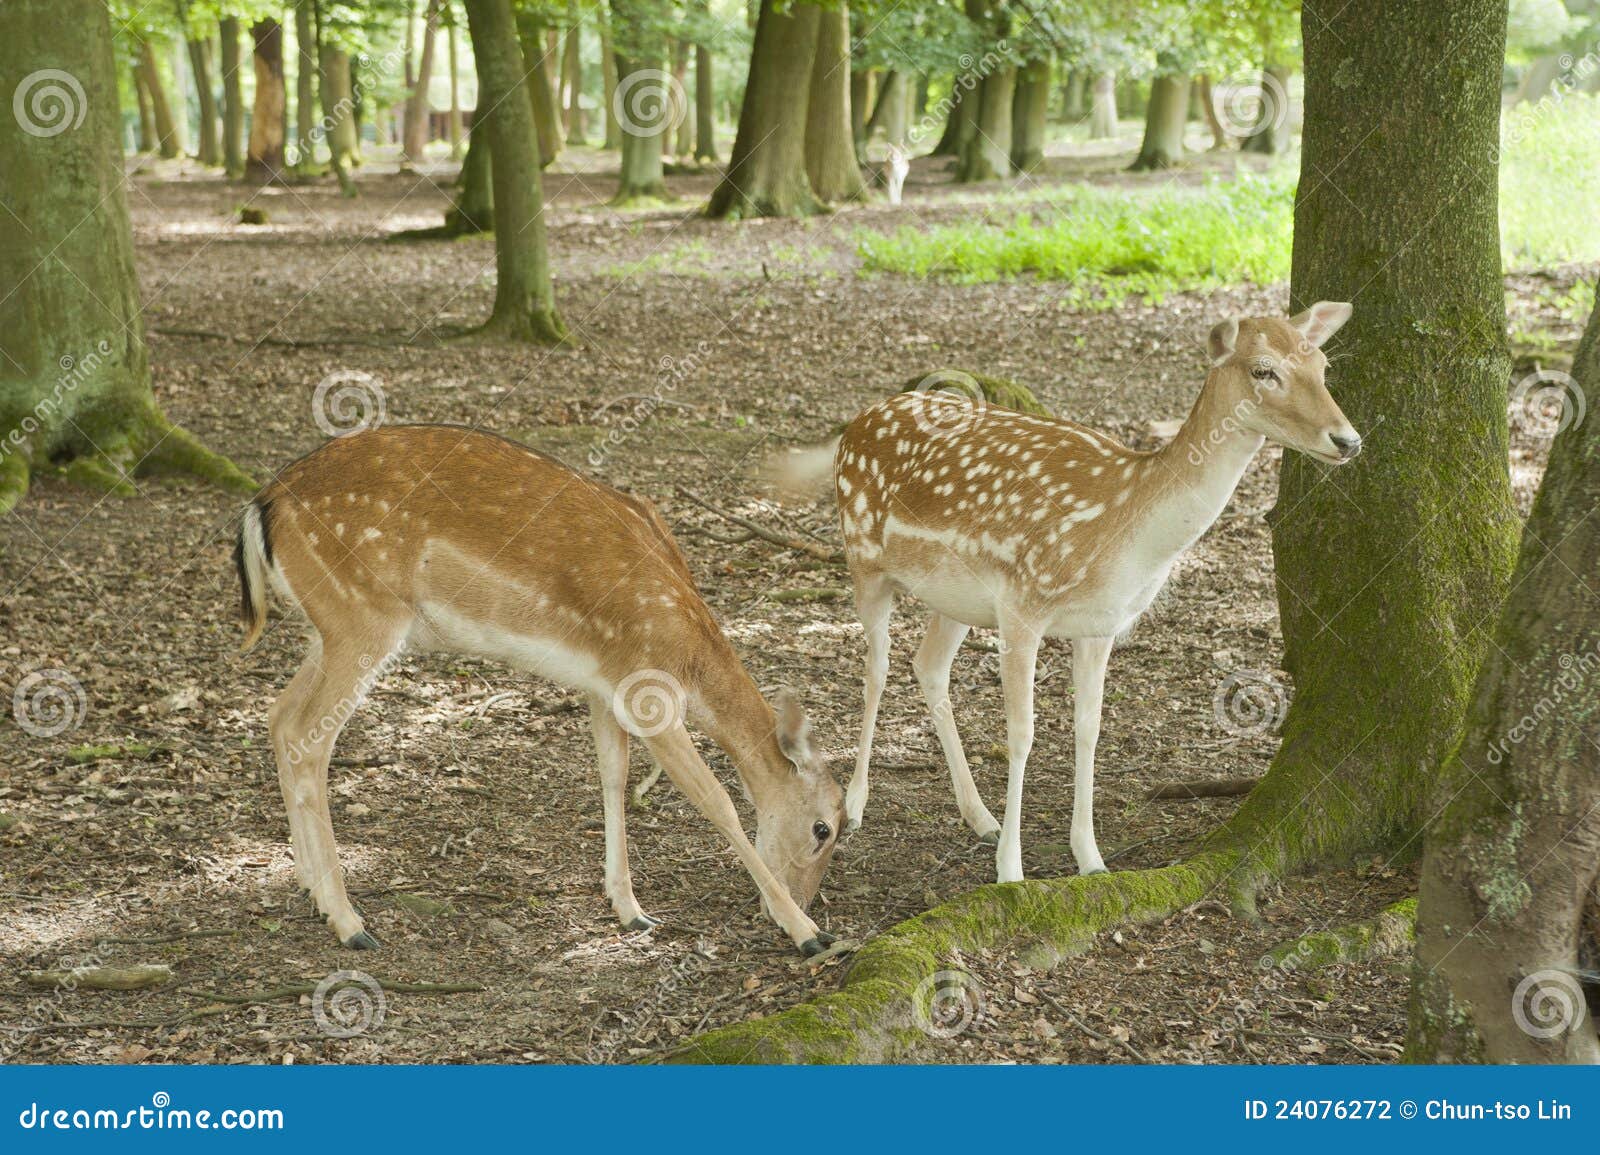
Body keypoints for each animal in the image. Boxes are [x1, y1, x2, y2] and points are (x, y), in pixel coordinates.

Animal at [234, 425, 844, 955]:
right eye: (824, 829)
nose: (804, 899)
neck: (686, 654)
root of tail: (261, 504)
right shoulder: (648, 690)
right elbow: (717, 801)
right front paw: (806, 932)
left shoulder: (605, 684)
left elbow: (613, 775)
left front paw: (630, 909)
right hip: (363, 613)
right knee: (310, 738)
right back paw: (349, 921)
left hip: (329, 626)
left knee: (279, 715)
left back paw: (310, 888)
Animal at [775, 303, 1359, 884]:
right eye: (1263, 370)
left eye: (1324, 365)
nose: (1347, 440)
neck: (1126, 528)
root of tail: (858, 421)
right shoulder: (1023, 605)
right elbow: (1022, 732)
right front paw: (1011, 871)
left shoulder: (1100, 625)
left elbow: (1089, 729)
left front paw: (1091, 859)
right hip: (864, 558)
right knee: (876, 668)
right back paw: (855, 805)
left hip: (956, 598)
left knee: (928, 664)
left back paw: (979, 815)